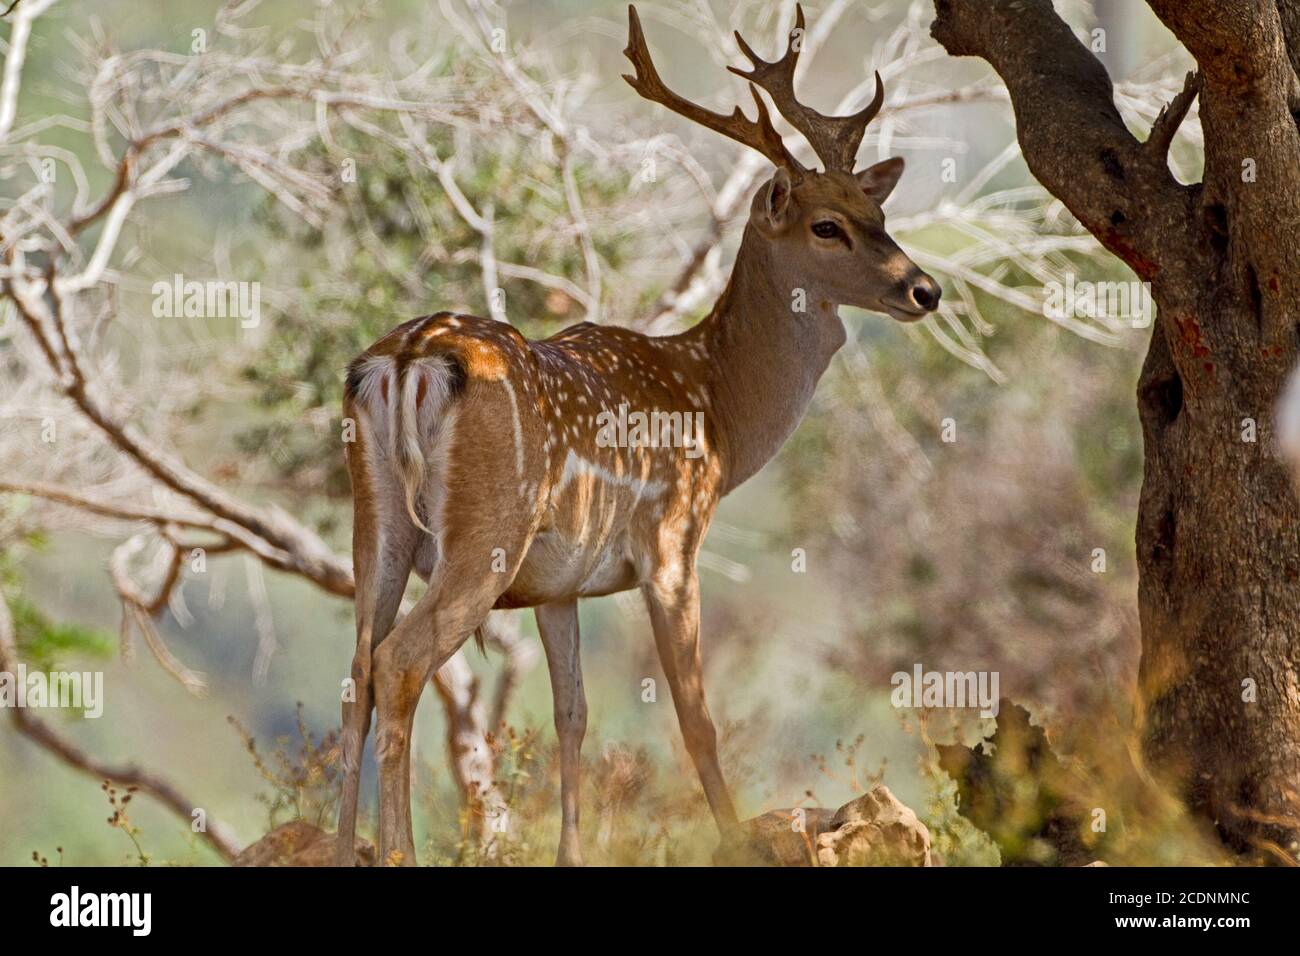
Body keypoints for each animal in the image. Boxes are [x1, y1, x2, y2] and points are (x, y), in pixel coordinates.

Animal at [334, 3, 940, 867]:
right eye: (828, 226)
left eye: (878, 213)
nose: (926, 289)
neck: (718, 408)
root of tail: (410, 358)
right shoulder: (672, 542)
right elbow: (696, 719)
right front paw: (735, 835)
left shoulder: (557, 585)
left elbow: (573, 713)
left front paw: (571, 851)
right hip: (485, 532)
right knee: (400, 662)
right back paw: (396, 851)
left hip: (377, 523)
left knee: (358, 668)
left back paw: (334, 840)